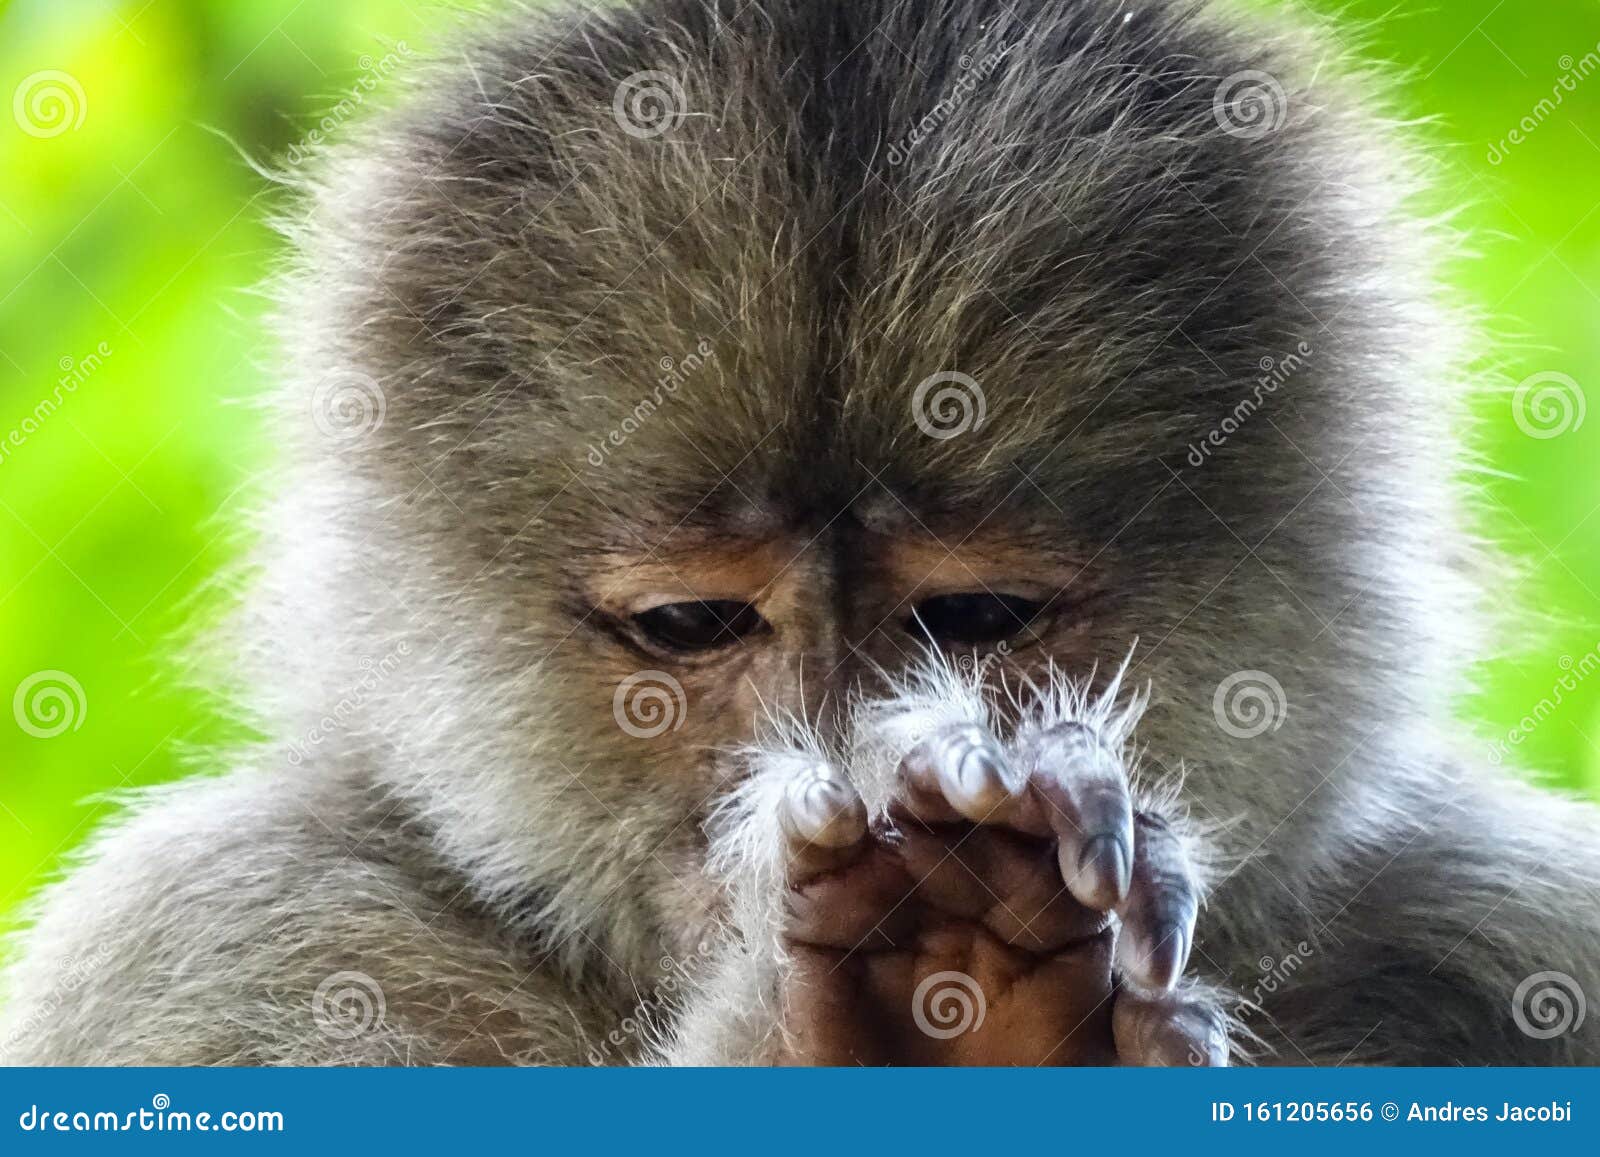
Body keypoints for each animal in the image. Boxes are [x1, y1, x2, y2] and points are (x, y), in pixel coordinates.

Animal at [3, 0, 1598, 1067]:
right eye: (691, 627)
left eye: (974, 619)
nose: (835, 742)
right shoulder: (223, 932)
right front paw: (895, 1004)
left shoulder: (1515, 924)